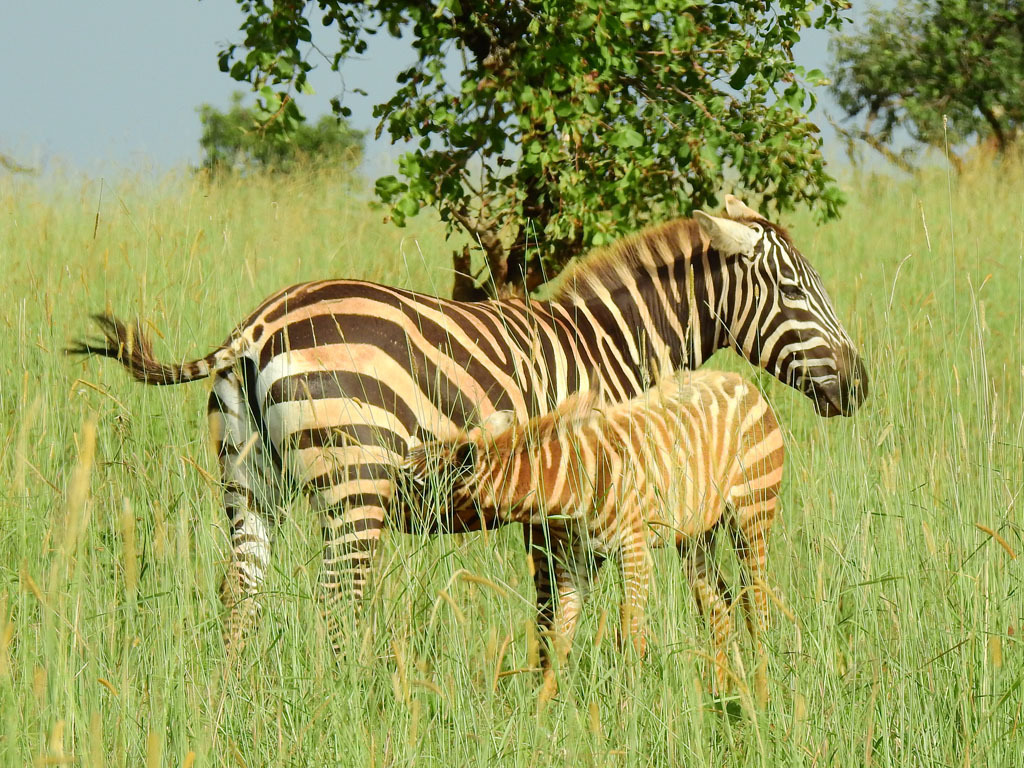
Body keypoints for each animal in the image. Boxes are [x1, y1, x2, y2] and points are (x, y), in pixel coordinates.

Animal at [68, 196, 866, 655]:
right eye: (794, 289)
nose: (860, 385)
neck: (607, 347)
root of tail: (259, 324)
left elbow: (559, 608)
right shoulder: (576, 496)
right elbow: (559, 606)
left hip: (247, 482)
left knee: (242, 592)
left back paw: (237, 706)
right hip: (357, 482)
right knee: (338, 601)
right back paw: (354, 706)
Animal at [405, 369, 784, 694]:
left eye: (419, 485)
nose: (393, 513)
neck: (569, 479)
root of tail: (738, 379)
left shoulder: (634, 551)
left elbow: (629, 637)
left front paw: (629, 712)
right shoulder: (575, 561)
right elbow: (558, 640)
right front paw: (543, 718)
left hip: (752, 513)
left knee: (758, 605)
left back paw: (763, 696)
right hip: (695, 535)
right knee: (719, 607)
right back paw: (722, 695)